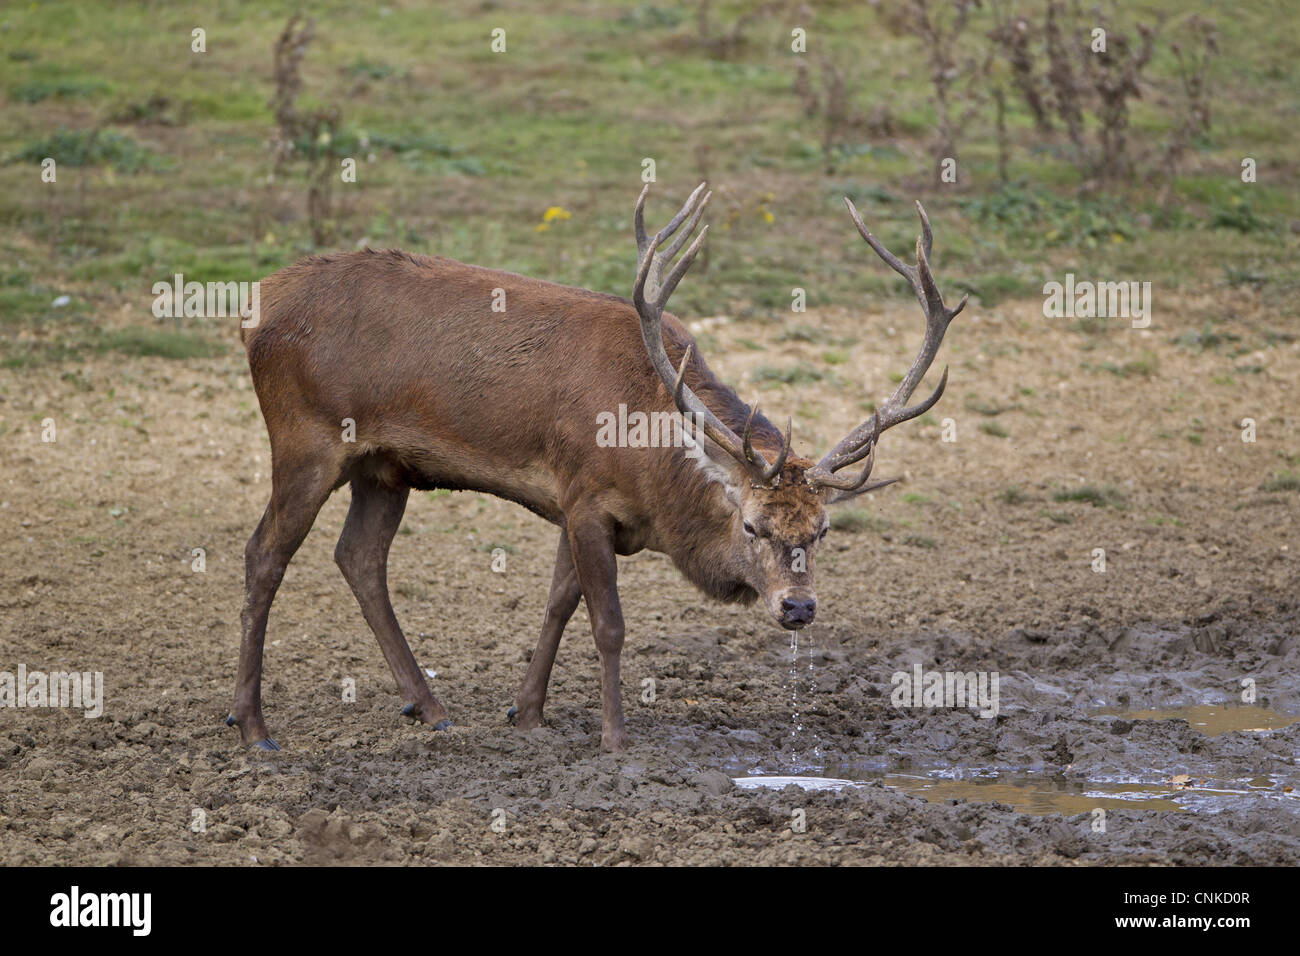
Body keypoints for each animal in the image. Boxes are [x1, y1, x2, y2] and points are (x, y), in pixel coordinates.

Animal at [228, 183, 964, 752]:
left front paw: (526, 713)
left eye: (822, 531)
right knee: (264, 553)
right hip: (305, 437)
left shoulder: (572, 502)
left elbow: (559, 600)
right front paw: (615, 738)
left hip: (384, 467)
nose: (799, 606)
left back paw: (430, 709)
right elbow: (607, 623)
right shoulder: (587, 498)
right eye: (752, 525)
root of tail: (254, 307)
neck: (649, 462)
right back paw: (253, 726)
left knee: (358, 557)